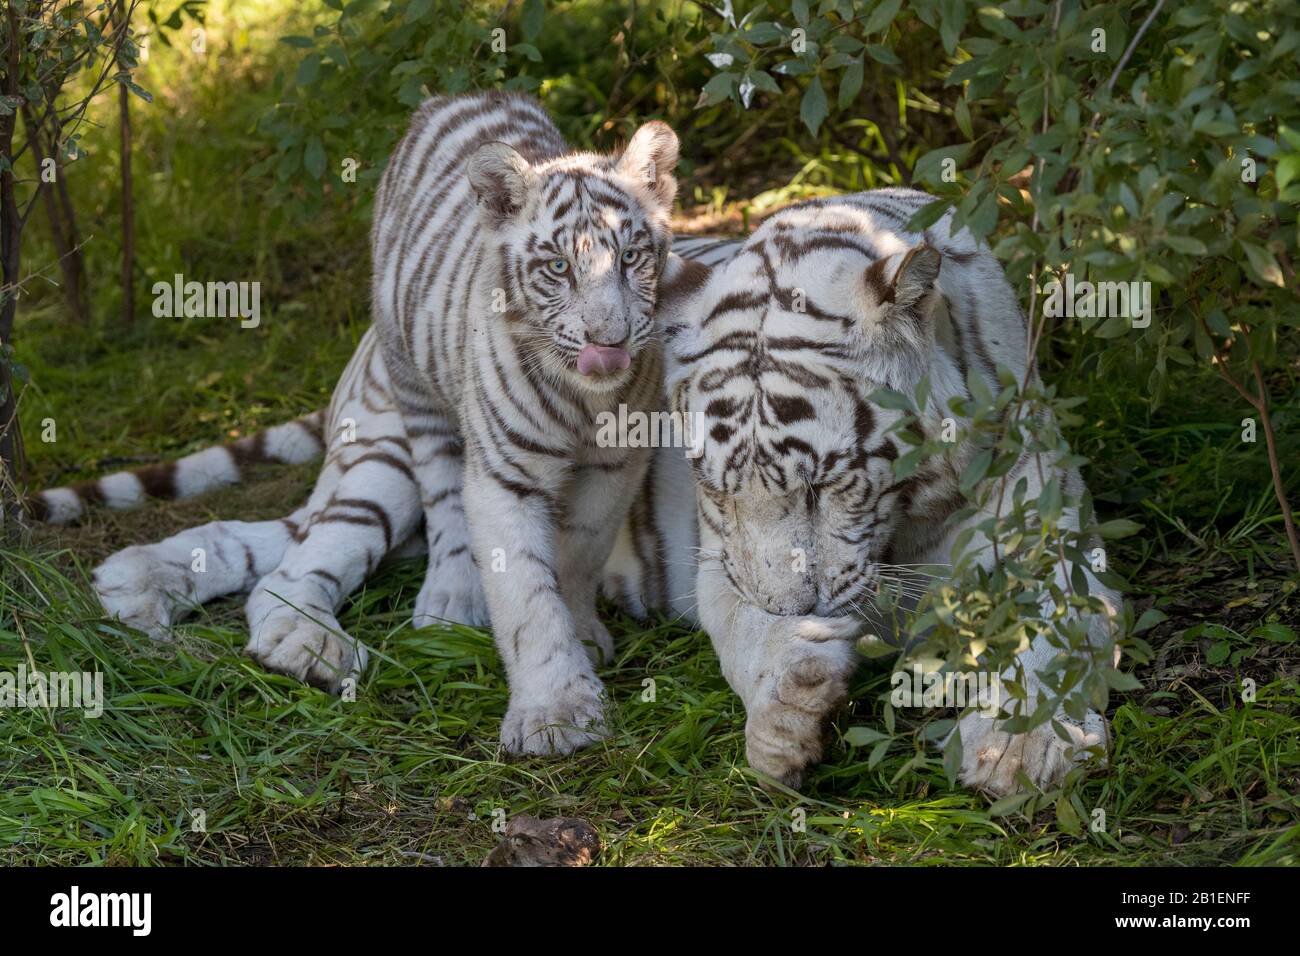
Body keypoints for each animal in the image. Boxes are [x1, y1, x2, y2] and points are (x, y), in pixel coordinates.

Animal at [41, 91, 683, 756]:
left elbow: (577, 557)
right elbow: (528, 597)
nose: (608, 341)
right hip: (393, 439)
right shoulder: (505, 477)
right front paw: (555, 712)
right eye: (558, 267)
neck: (584, 401)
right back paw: (334, 642)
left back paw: (132, 584)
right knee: (309, 562)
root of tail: (463, 96)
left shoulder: (615, 466)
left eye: (631, 258)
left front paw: (582, 641)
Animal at [602, 188, 1121, 795]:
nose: (797, 611)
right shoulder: (721, 565)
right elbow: (746, 630)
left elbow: (1053, 639)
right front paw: (787, 709)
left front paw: (1017, 747)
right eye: (718, 490)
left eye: (822, 485)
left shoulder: (1054, 543)